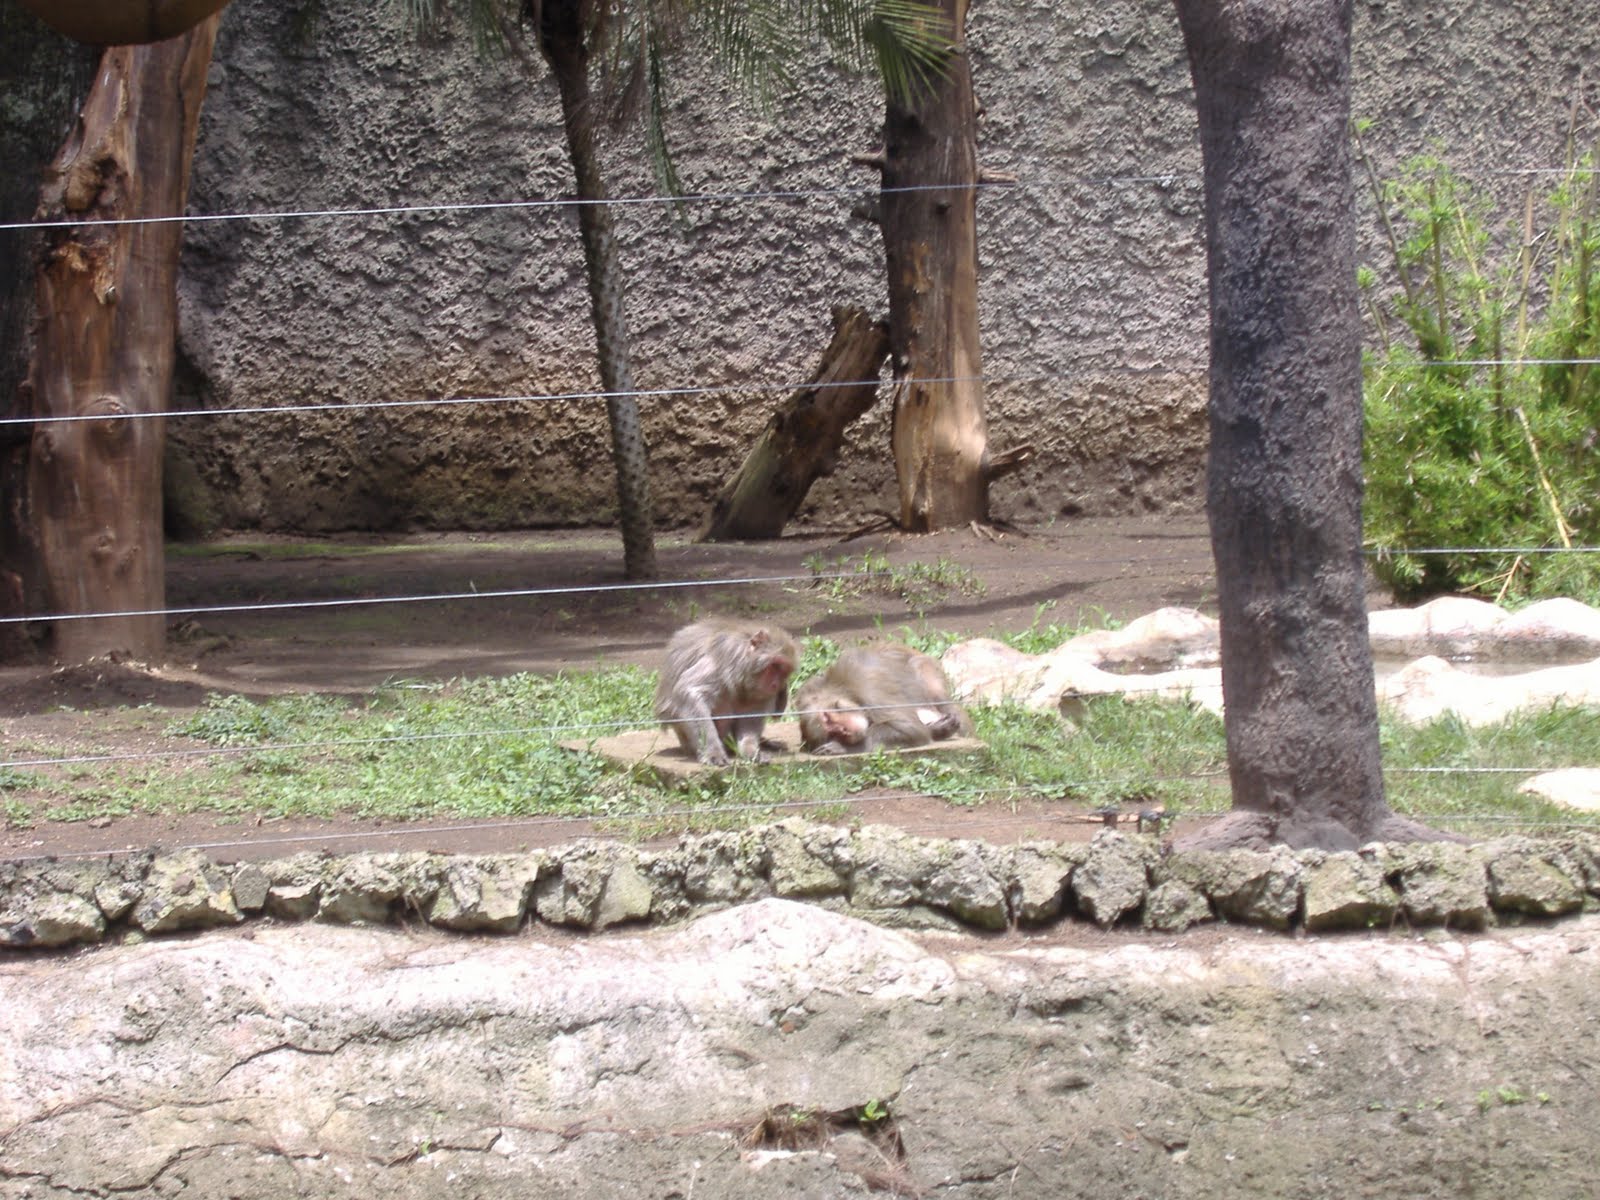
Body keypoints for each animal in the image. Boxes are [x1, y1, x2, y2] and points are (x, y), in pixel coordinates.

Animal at [654, 618, 800, 766]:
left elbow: (752, 710)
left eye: (784, 671)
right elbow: (689, 690)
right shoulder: (722, 663)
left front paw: (751, 750)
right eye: (775, 665)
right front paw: (713, 751)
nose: (776, 685)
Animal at [794, 642, 972, 756]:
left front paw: (845, 747)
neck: (846, 691)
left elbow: (909, 727)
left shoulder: (869, 689)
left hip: (927, 668)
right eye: (832, 733)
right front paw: (937, 729)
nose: (845, 731)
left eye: (828, 719)